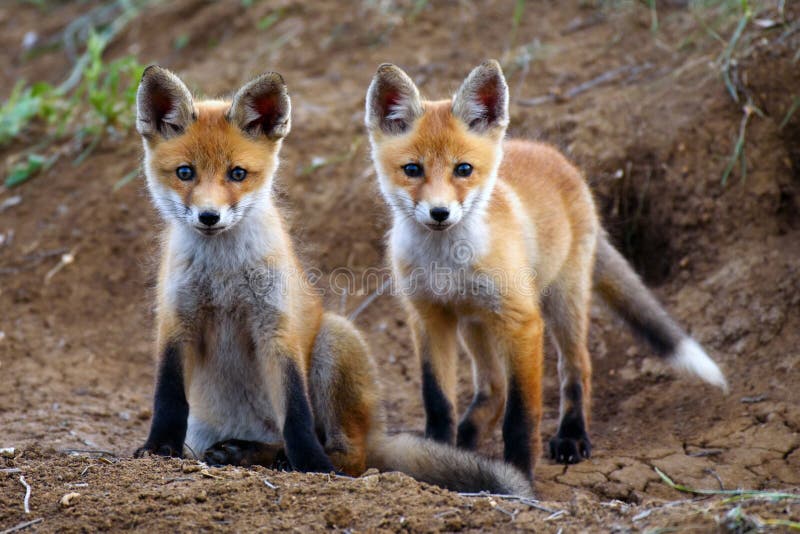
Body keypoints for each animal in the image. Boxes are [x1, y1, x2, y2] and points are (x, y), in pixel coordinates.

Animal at [131, 65, 531, 496]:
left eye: (237, 174)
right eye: (185, 173)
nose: (209, 217)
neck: (223, 274)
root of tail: (378, 433)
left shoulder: (277, 326)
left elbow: (296, 413)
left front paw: (311, 465)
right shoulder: (176, 320)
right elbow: (168, 397)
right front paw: (158, 449)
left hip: (333, 339)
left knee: (350, 454)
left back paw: (283, 459)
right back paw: (248, 452)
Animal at [364, 60, 727, 480]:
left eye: (463, 169)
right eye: (412, 169)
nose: (440, 213)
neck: (446, 262)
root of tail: (558, 158)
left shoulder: (523, 321)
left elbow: (522, 415)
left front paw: (519, 473)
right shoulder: (428, 317)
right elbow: (438, 402)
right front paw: (438, 456)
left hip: (561, 301)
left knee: (577, 368)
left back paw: (571, 435)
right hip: (475, 320)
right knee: (494, 386)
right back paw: (468, 442)